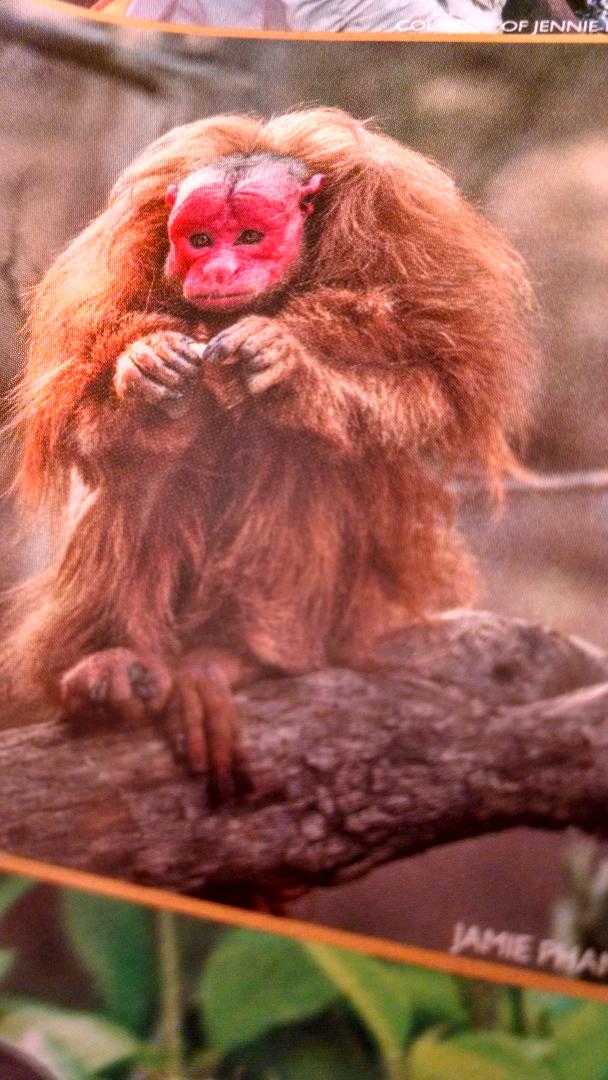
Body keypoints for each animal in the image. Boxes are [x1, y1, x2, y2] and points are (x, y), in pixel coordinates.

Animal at [5, 109, 536, 799]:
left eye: (251, 237)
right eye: (201, 239)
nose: (218, 271)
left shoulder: (404, 234)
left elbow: (438, 385)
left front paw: (288, 366)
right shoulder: (120, 258)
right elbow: (78, 411)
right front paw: (143, 369)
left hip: (359, 610)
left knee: (299, 446)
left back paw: (239, 656)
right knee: (149, 465)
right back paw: (114, 664)